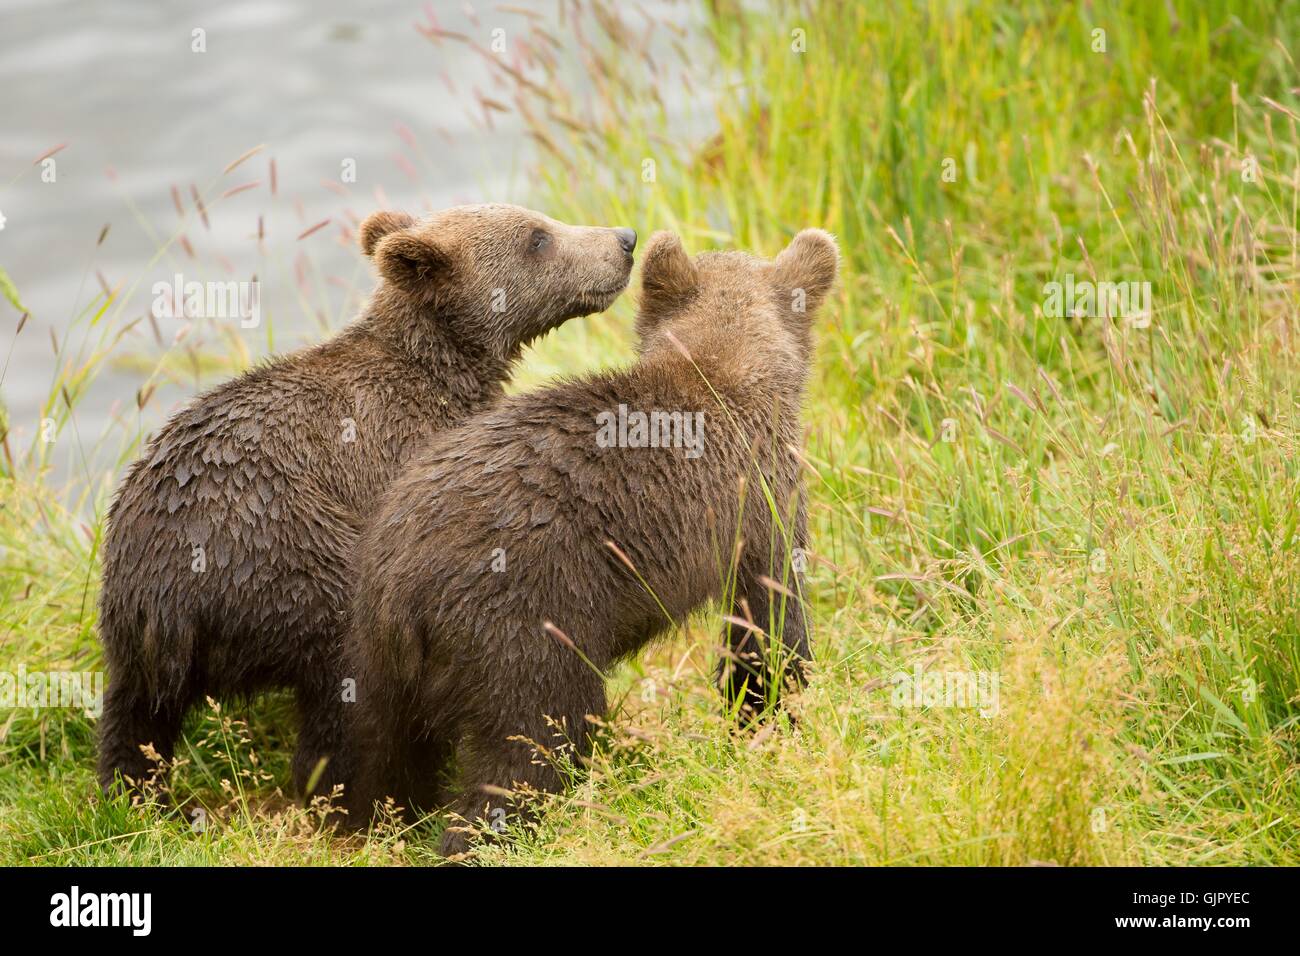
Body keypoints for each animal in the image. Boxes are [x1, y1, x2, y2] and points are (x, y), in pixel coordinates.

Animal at [96, 203, 638, 801]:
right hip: (286, 559)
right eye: (537, 238)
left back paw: (130, 794)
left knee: (132, 720)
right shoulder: (401, 453)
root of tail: (169, 601)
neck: (447, 369)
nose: (625, 238)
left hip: (127, 628)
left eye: (540, 222)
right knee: (343, 682)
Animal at [339, 227, 837, 854]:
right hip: (529, 625)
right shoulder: (761, 507)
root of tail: (406, 589)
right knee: (531, 748)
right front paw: (771, 716)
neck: (724, 372)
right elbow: (769, 630)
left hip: (374, 656)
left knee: (381, 757)